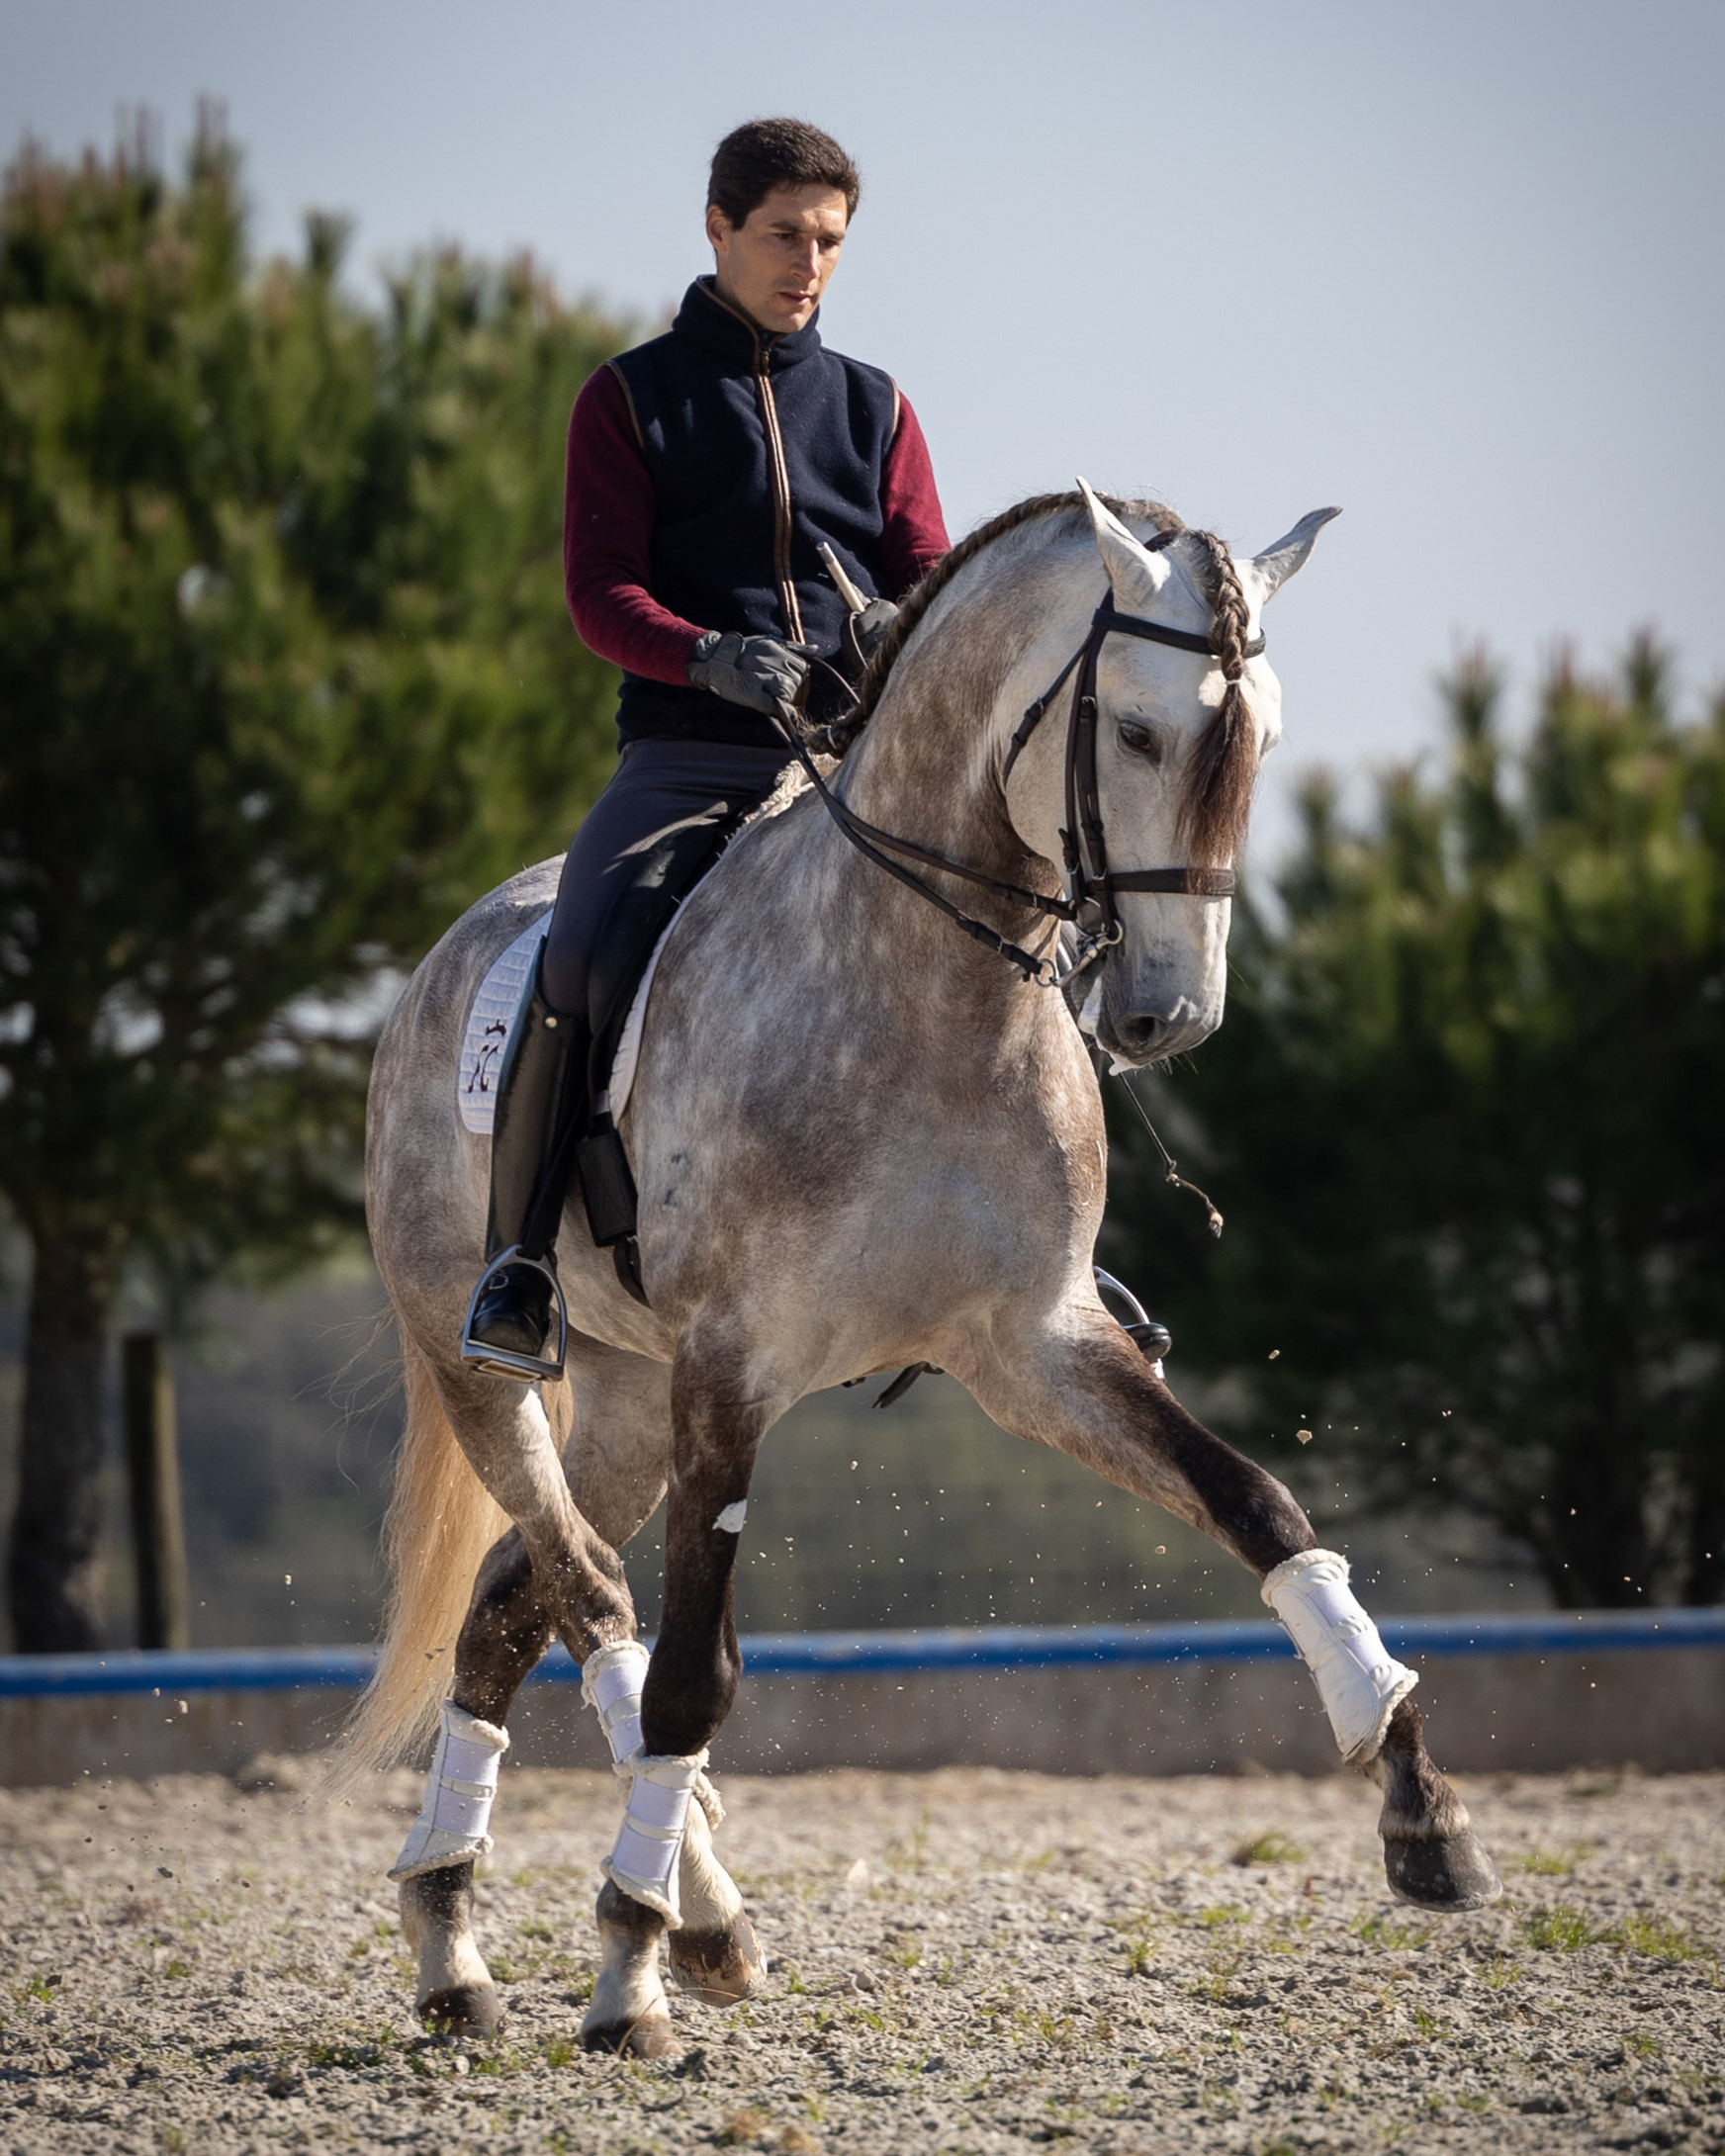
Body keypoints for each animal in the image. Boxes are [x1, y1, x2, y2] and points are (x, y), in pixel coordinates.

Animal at [338, 482, 1501, 2058]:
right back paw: (641, 1920)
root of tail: (433, 971)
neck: (923, 988)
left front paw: (1420, 1804)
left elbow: (1261, 1508)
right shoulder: (735, 1375)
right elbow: (697, 1673)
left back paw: (482, 1938)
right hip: (490, 1367)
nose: (1169, 1015)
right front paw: (625, 1970)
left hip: (634, 1397)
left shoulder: (1033, 1344)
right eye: (1138, 732)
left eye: (1258, 736)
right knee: (590, 1597)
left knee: (517, 1598)